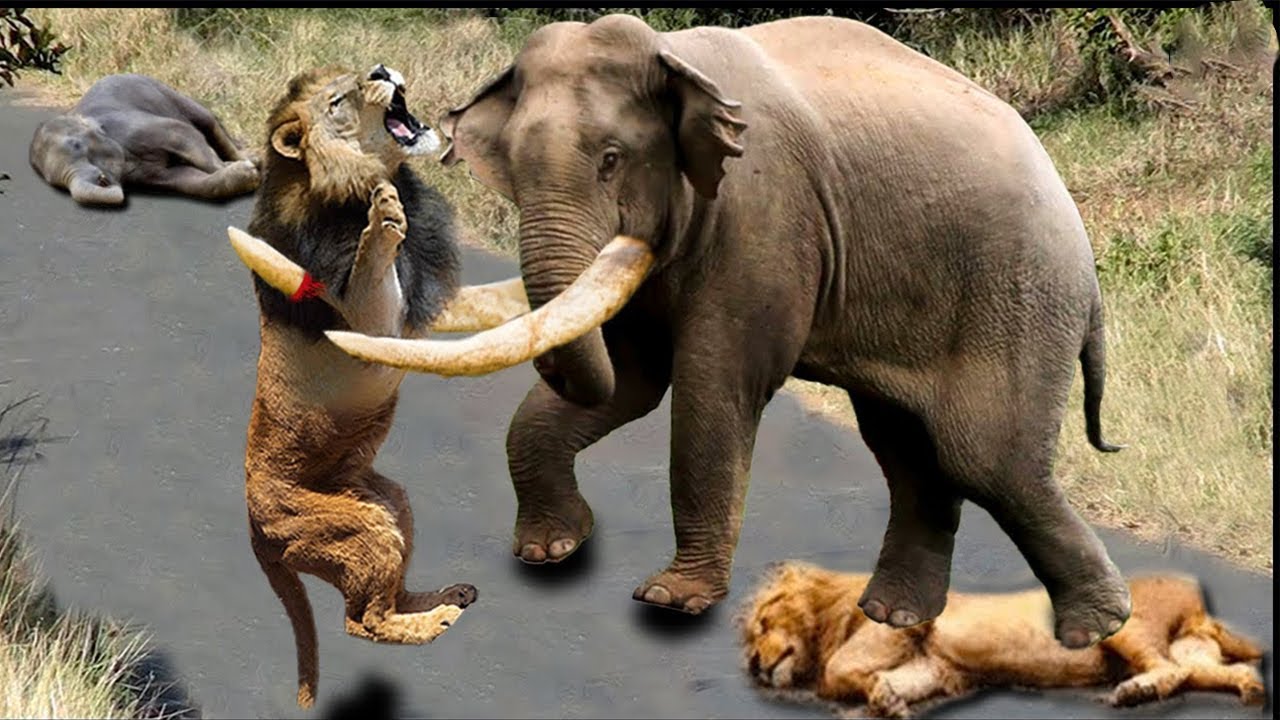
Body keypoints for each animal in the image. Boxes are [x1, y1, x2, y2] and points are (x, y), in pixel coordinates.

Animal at [231, 63, 530, 709]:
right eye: (339, 100)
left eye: (356, 72)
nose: (381, 70)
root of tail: (253, 528)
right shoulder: (366, 321)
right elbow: (372, 262)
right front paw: (384, 213)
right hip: (359, 529)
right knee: (359, 622)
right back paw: (434, 621)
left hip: (391, 503)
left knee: (385, 599)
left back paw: (445, 600)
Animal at [740, 561, 1266, 718]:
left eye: (762, 625)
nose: (753, 666)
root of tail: (1199, 601)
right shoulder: (936, 667)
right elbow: (879, 680)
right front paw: (886, 698)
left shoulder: (910, 627)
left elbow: (834, 671)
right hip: (1196, 652)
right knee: (1225, 670)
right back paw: (1252, 691)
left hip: (1128, 625)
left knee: (1169, 670)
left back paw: (1135, 692)